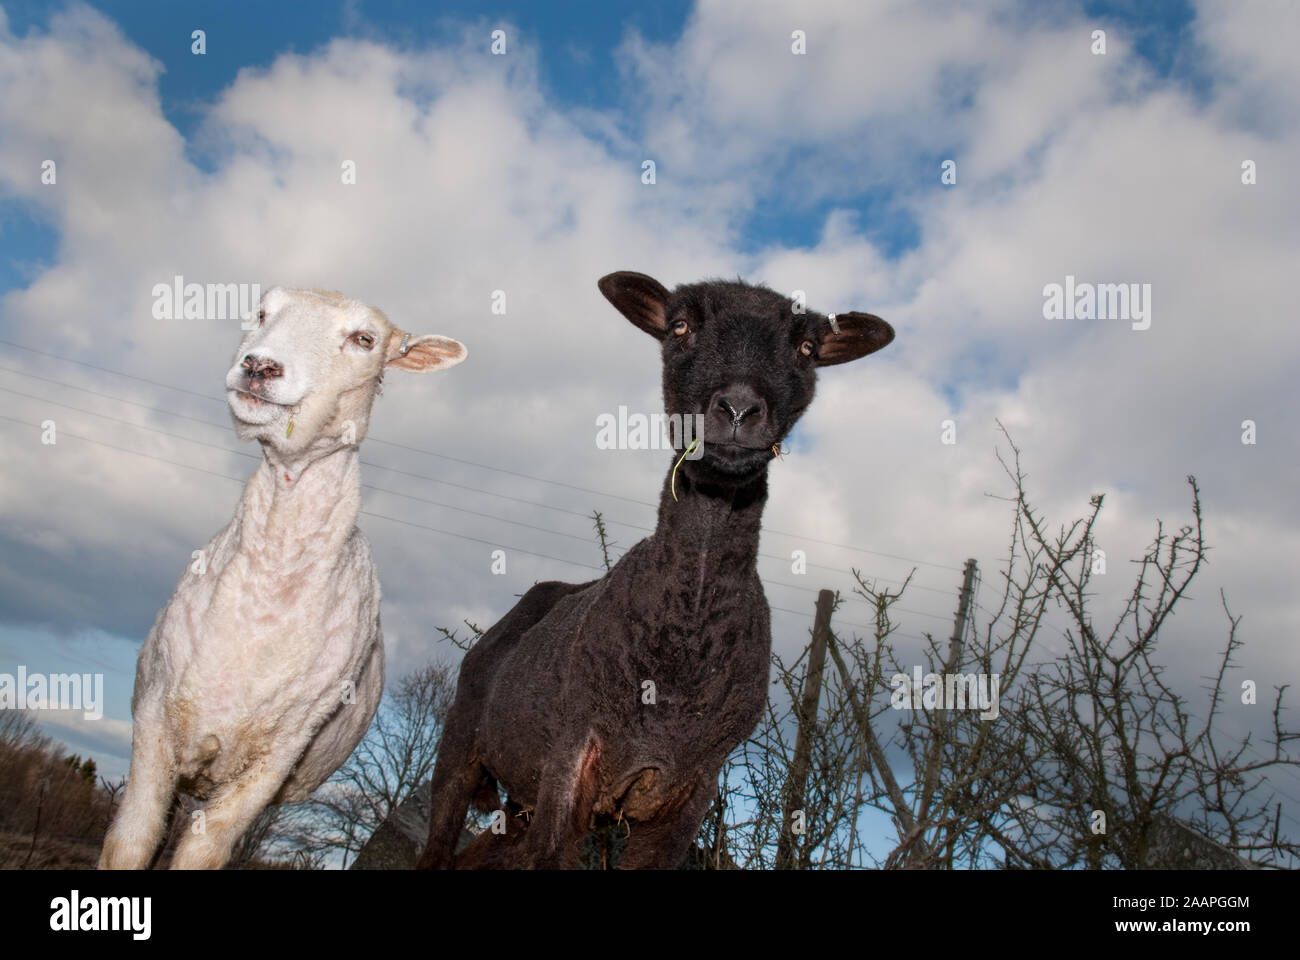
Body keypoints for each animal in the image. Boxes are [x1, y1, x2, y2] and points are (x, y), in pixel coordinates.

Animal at [99, 287, 466, 869]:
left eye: (365, 339)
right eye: (261, 312)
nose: (259, 366)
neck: (262, 599)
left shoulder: (277, 758)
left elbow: (204, 853)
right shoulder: (154, 722)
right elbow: (131, 843)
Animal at [418, 271, 893, 869]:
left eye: (807, 349)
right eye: (680, 326)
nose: (739, 410)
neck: (687, 626)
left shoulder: (692, 793)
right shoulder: (573, 755)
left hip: (517, 801)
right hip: (460, 745)